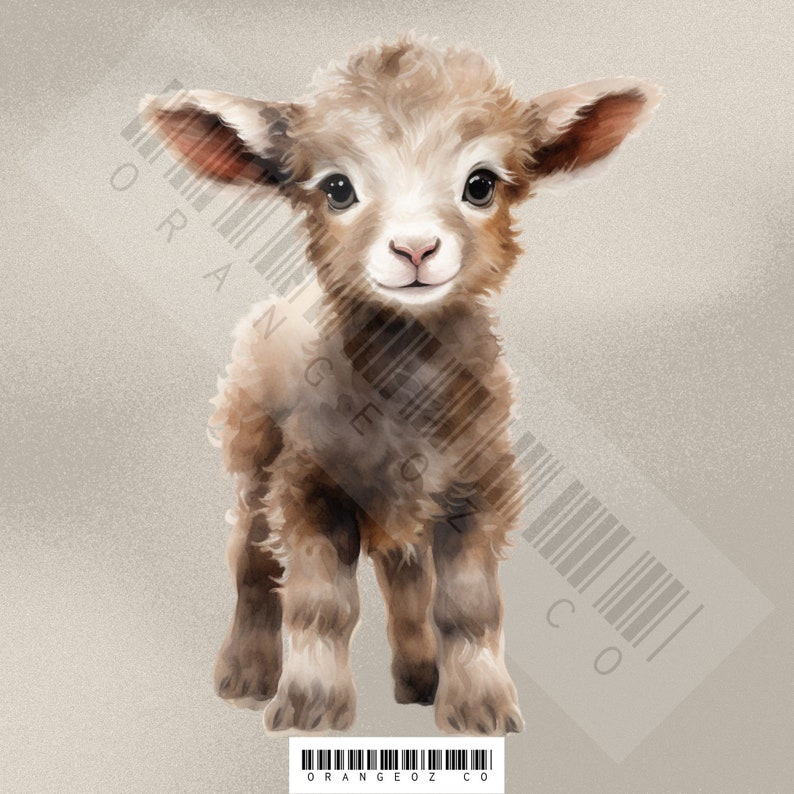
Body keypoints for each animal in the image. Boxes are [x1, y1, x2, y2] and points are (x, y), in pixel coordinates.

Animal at [140, 33, 660, 736]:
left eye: (480, 183)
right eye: (337, 188)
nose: (415, 249)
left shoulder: (479, 489)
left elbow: (468, 608)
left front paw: (480, 707)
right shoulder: (309, 486)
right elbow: (321, 605)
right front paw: (310, 707)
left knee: (404, 577)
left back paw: (418, 678)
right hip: (250, 452)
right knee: (251, 561)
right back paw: (246, 674)